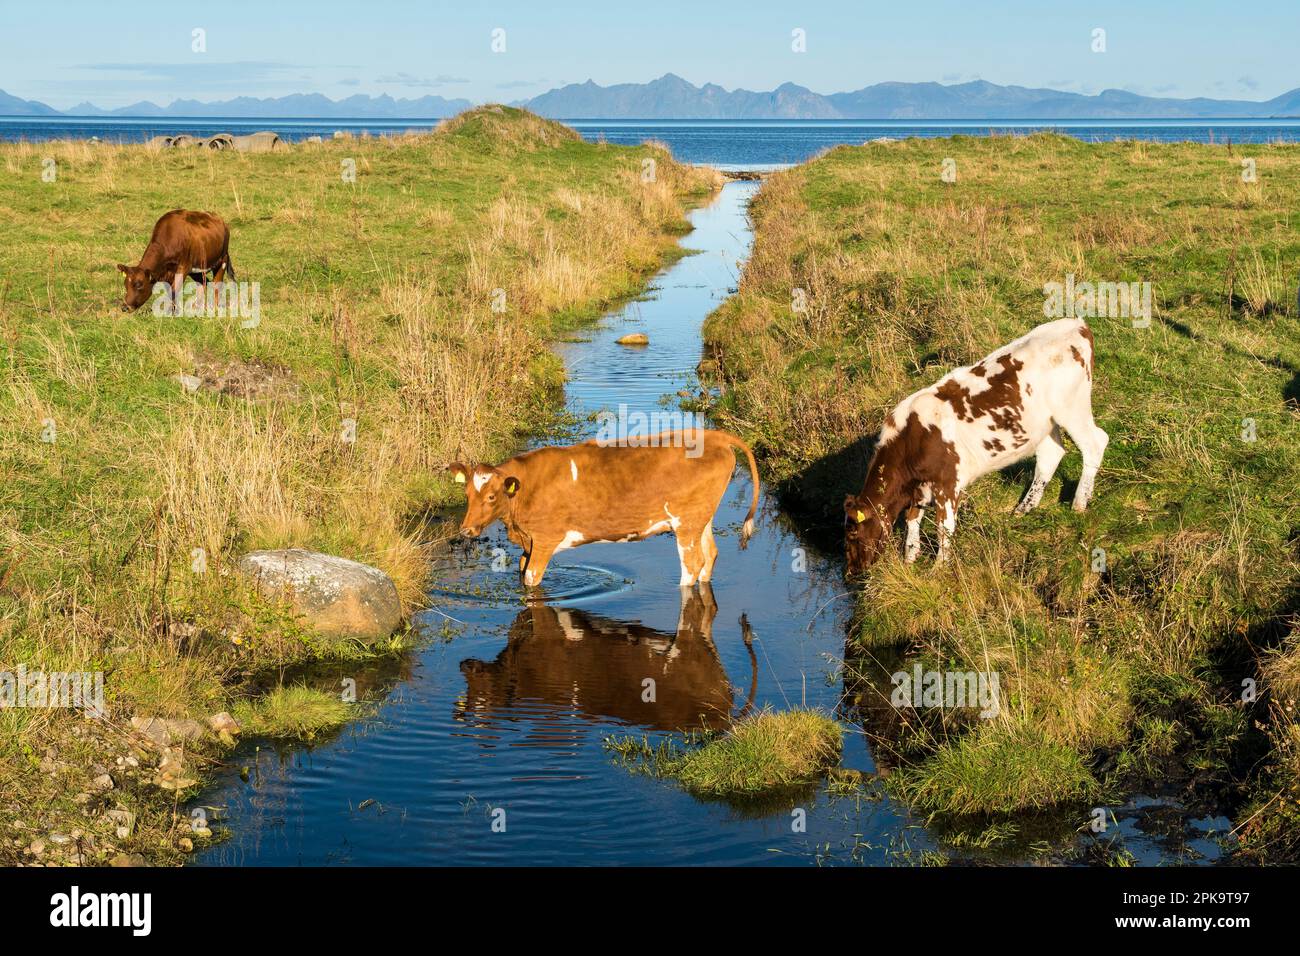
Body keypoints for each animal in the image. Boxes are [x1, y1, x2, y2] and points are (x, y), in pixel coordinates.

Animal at [448, 429, 760, 587]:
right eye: (466, 493)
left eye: (491, 497)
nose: (466, 530)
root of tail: (716, 435)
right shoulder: (530, 542)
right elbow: (522, 571)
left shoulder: (546, 540)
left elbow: (531, 578)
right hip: (701, 518)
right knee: (710, 554)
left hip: (686, 522)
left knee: (692, 563)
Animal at [843, 319, 1107, 574]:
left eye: (853, 533)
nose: (852, 570)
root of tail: (1076, 323)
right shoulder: (919, 489)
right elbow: (912, 521)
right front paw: (910, 558)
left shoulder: (947, 483)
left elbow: (944, 527)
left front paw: (939, 568)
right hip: (1044, 423)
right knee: (1051, 454)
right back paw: (1025, 507)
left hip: (1072, 408)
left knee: (1095, 443)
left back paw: (1079, 502)